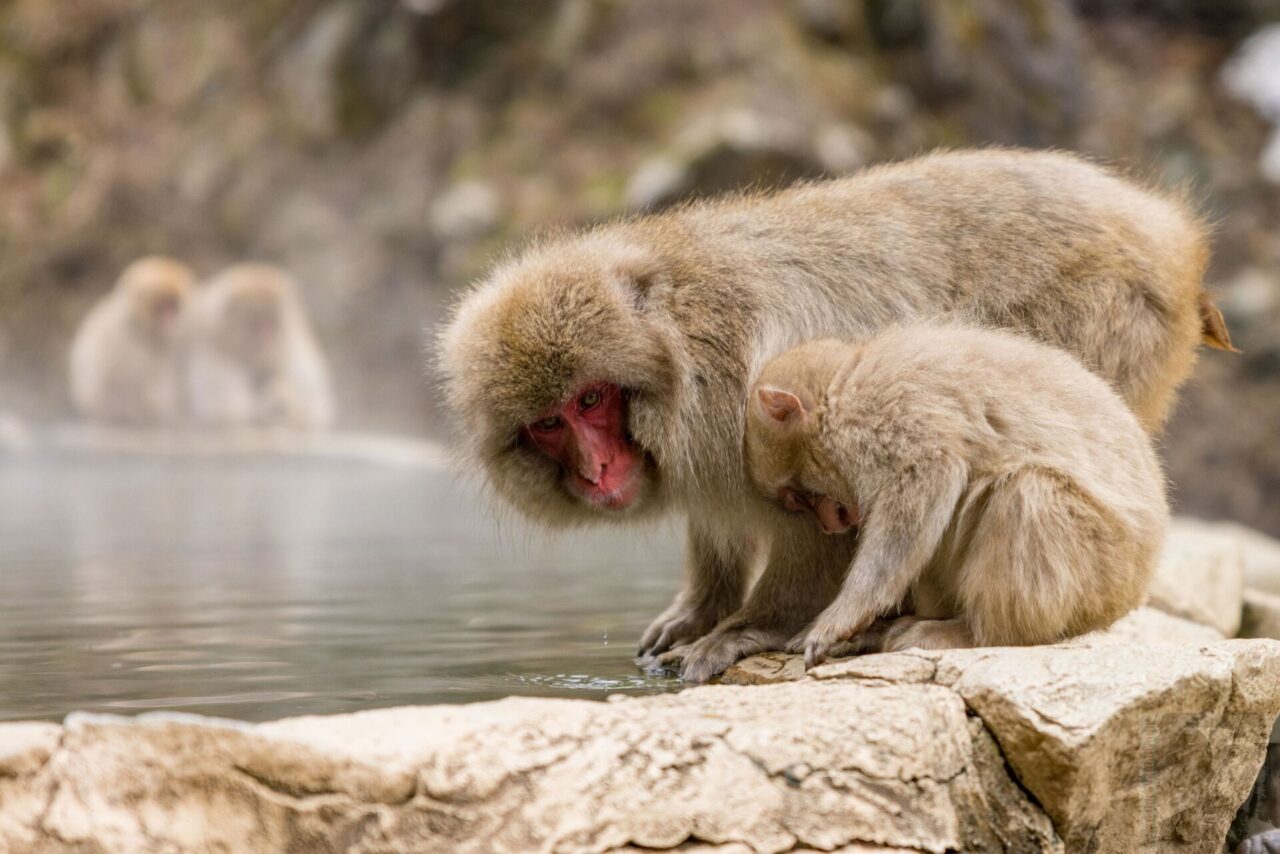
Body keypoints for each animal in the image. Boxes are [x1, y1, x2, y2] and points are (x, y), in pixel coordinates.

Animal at [185, 263, 335, 430]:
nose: (267, 340)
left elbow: (316, 406)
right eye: (255, 324)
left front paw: (281, 400)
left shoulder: (292, 340)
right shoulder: (211, 340)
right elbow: (225, 408)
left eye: (271, 322)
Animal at [744, 325, 1169, 667]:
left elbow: (928, 474)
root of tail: (1132, 592)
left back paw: (978, 635)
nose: (827, 524)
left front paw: (844, 616)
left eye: (797, 496)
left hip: (1104, 569)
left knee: (1025, 494)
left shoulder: (875, 417)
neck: (841, 382)